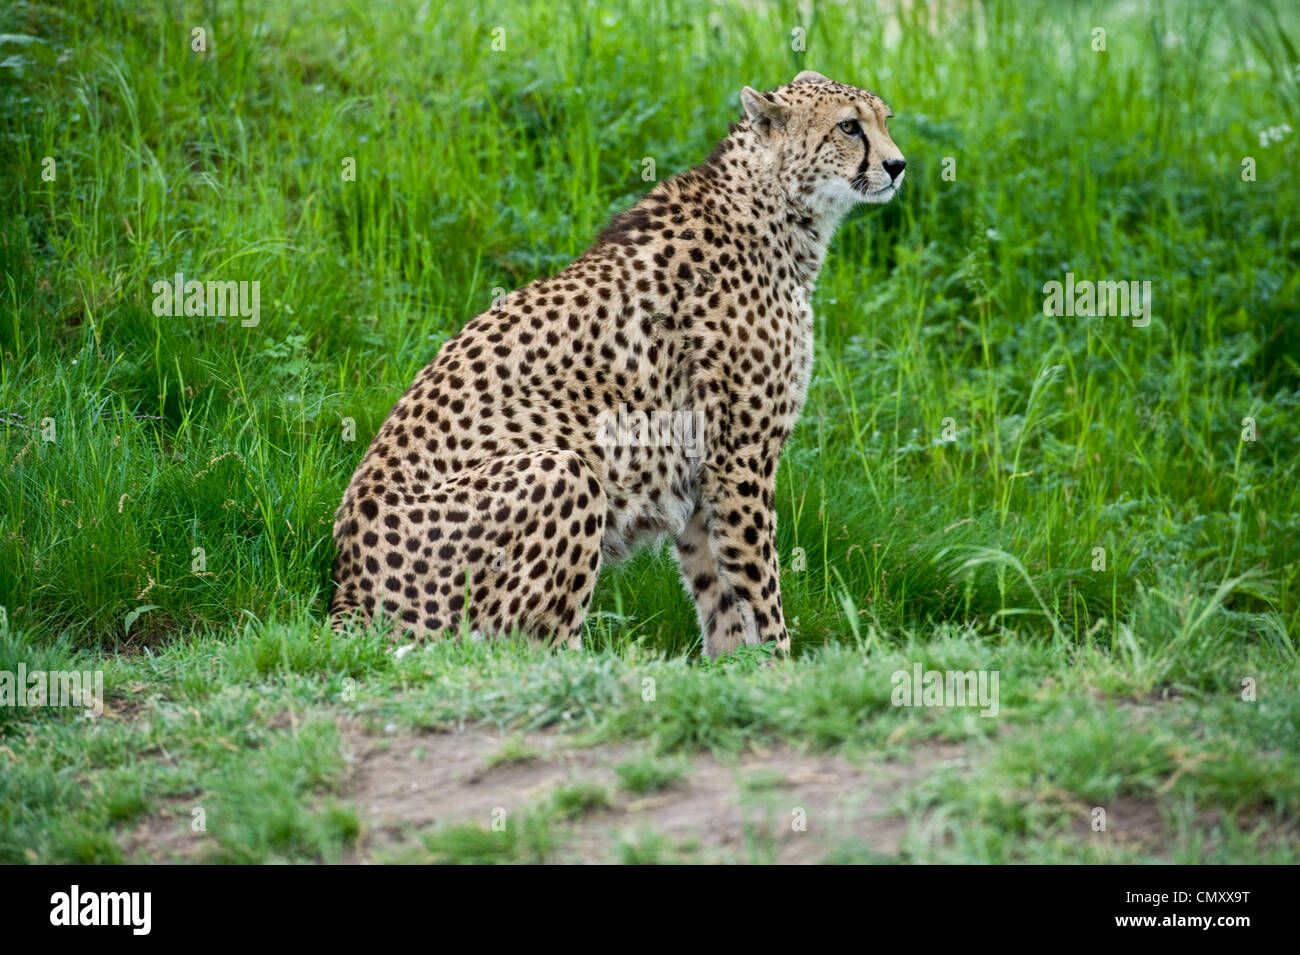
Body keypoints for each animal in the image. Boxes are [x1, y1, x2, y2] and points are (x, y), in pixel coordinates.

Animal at [329, 70, 905, 658]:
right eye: (849, 126)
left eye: (884, 121)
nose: (896, 165)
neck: (778, 209)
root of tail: (348, 594)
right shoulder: (740, 459)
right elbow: (760, 587)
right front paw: (782, 665)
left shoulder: (701, 474)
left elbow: (720, 594)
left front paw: (735, 667)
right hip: (564, 471)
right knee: (525, 647)